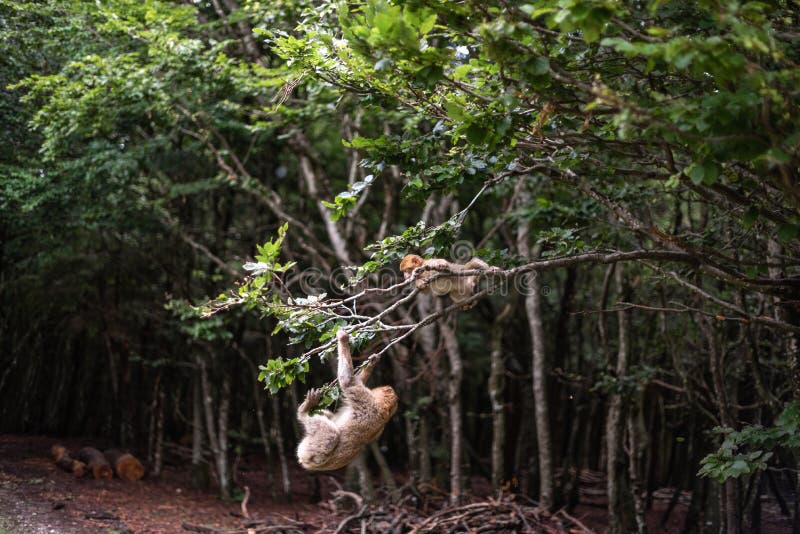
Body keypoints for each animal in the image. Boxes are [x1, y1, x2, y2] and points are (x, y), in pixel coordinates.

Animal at [296, 330, 398, 471]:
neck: (385, 410)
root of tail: (307, 463)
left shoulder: (367, 402)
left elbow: (347, 381)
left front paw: (343, 338)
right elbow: (355, 380)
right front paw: (371, 364)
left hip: (312, 452)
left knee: (331, 435)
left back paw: (304, 411)